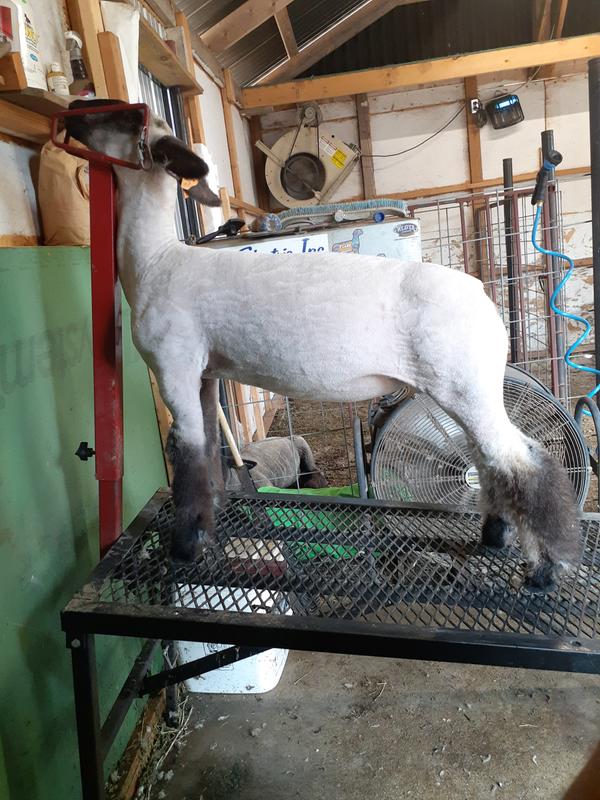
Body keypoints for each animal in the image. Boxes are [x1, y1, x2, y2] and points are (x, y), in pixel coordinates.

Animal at [64, 100, 579, 592]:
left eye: (121, 116)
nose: (67, 118)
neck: (156, 261)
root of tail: (485, 301)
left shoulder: (172, 364)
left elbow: (186, 457)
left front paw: (185, 549)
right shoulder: (204, 374)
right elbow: (209, 448)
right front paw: (207, 531)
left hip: (464, 385)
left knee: (527, 466)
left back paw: (544, 573)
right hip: (466, 390)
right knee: (494, 464)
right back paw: (495, 538)